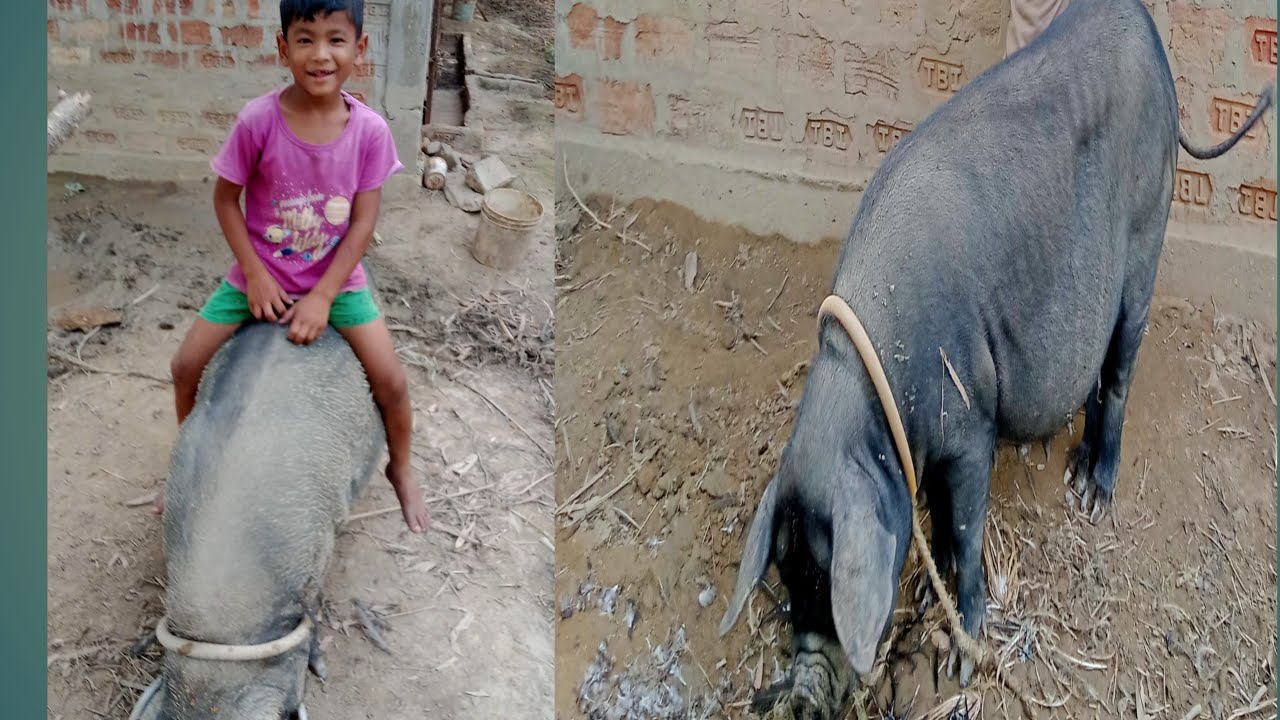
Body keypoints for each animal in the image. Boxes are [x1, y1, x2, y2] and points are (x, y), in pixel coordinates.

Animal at [719, 0, 1273, 716]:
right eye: (789, 584)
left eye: (829, 588)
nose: (807, 689)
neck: (878, 397)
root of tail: (1148, 29)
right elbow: (930, 511)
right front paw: (927, 585)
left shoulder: (970, 425)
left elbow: (963, 524)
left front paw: (963, 654)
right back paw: (1071, 473)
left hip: (1148, 236)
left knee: (1121, 369)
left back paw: (1093, 496)